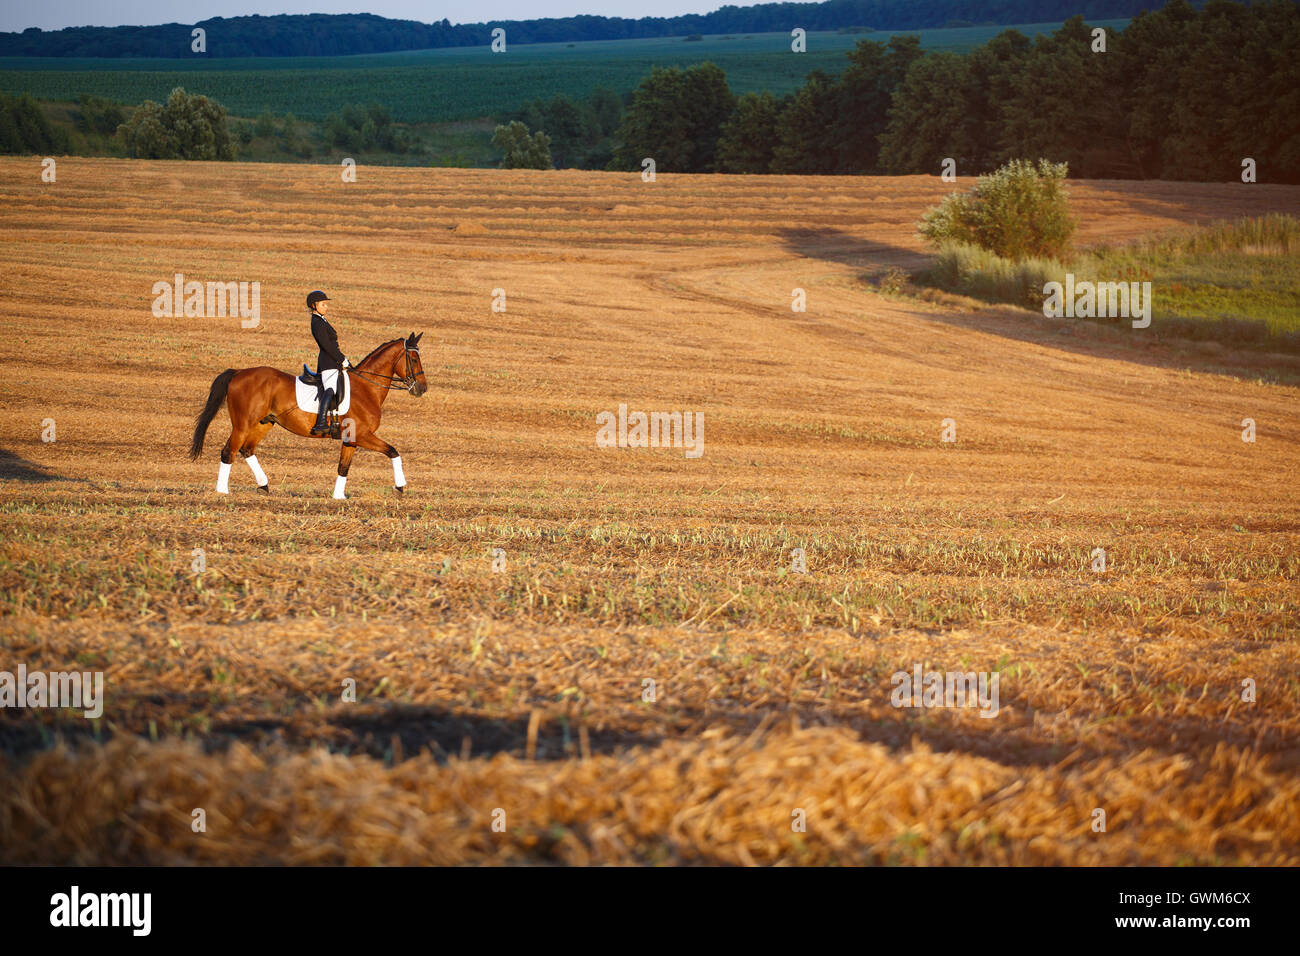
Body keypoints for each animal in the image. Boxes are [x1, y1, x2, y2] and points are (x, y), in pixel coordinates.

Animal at [189, 332, 427, 498]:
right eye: (414, 359)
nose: (422, 389)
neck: (366, 388)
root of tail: (239, 372)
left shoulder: (351, 439)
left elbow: (343, 467)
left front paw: (338, 497)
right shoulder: (362, 435)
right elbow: (393, 452)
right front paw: (400, 487)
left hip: (263, 423)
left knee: (246, 450)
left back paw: (263, 485)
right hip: (242, 424)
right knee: (228, 451)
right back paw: (222, 492)